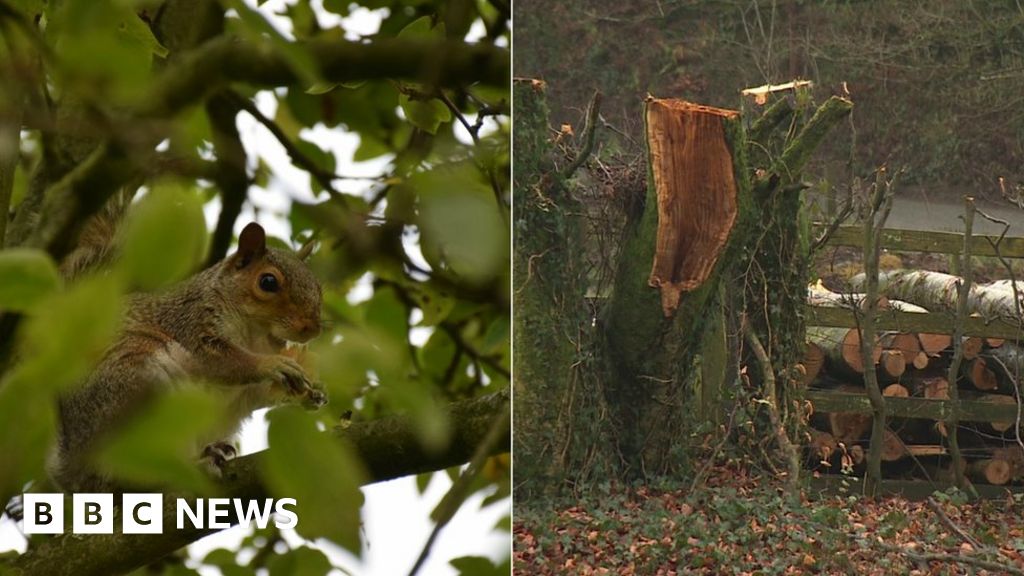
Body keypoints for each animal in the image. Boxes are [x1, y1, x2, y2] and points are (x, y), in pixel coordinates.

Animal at [50, 221, 327, 492]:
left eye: (318, 287)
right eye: (268, 282)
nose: (312, 328)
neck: (256, 336)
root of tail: (75, 470)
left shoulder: (247, 390)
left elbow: (259, 393)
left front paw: (311, 393)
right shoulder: (191, 325)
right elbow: (223, 363)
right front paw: (272, 365)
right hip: (137, 385)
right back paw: (195, 464)